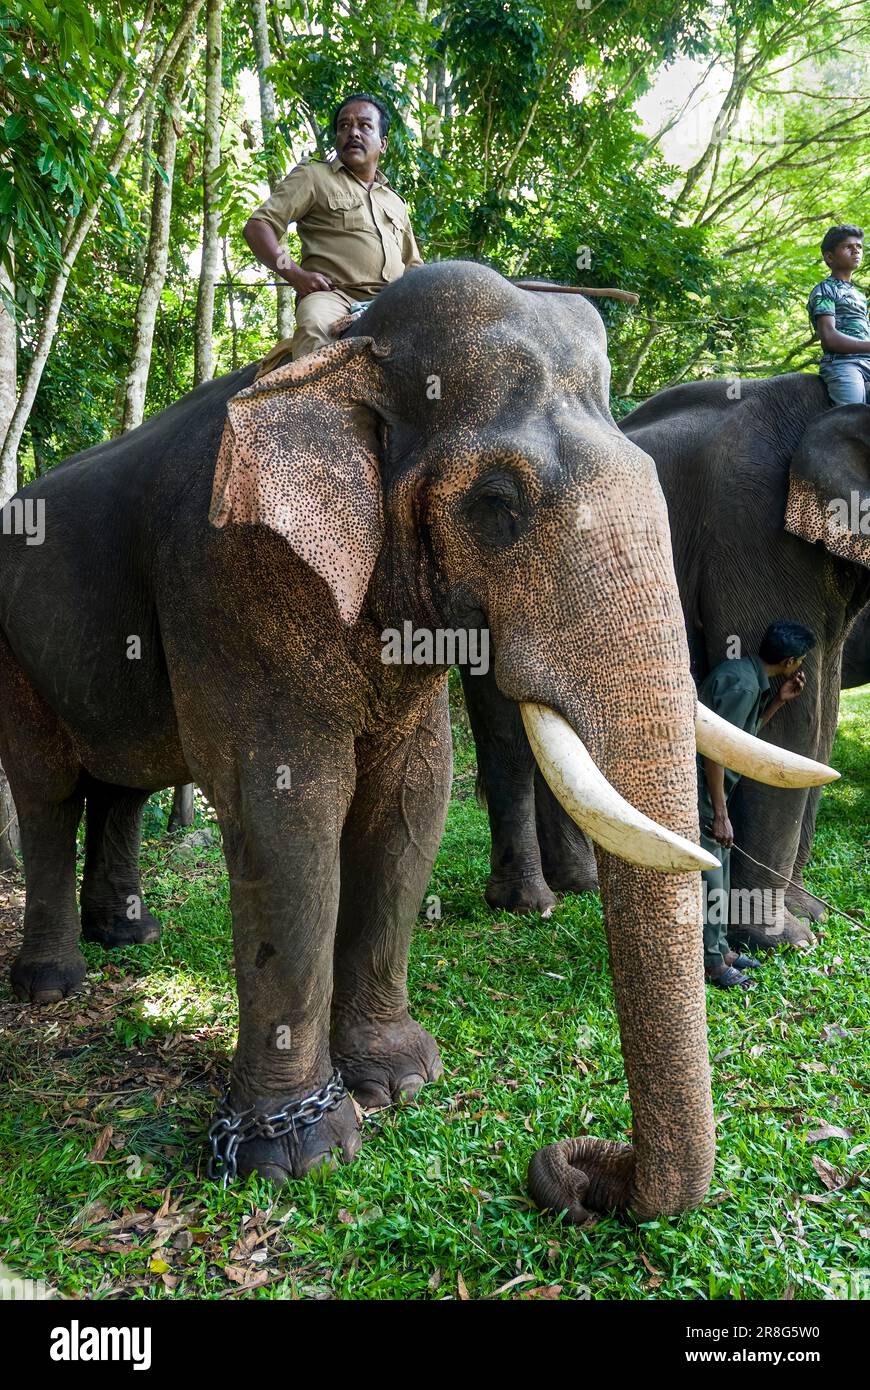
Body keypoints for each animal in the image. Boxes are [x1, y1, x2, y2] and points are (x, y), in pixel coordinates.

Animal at [0, 262, 826, 1222]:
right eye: (497, 505)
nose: (583, 1173)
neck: (348, 357)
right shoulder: (228, 576)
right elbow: (286, 816)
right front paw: (294, 1154)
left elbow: (412, 796)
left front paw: (399, 1083)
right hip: (14, 656)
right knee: (49, 793)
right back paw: (54, 984)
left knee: (120, 784)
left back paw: (129, 938)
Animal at [464, 376, 870, 943]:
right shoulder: (754, 532)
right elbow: (793, 726)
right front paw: (781, 939)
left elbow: (823, 710)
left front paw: (808, 916)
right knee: (509, 736)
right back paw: (532, 905)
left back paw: (579, 886)